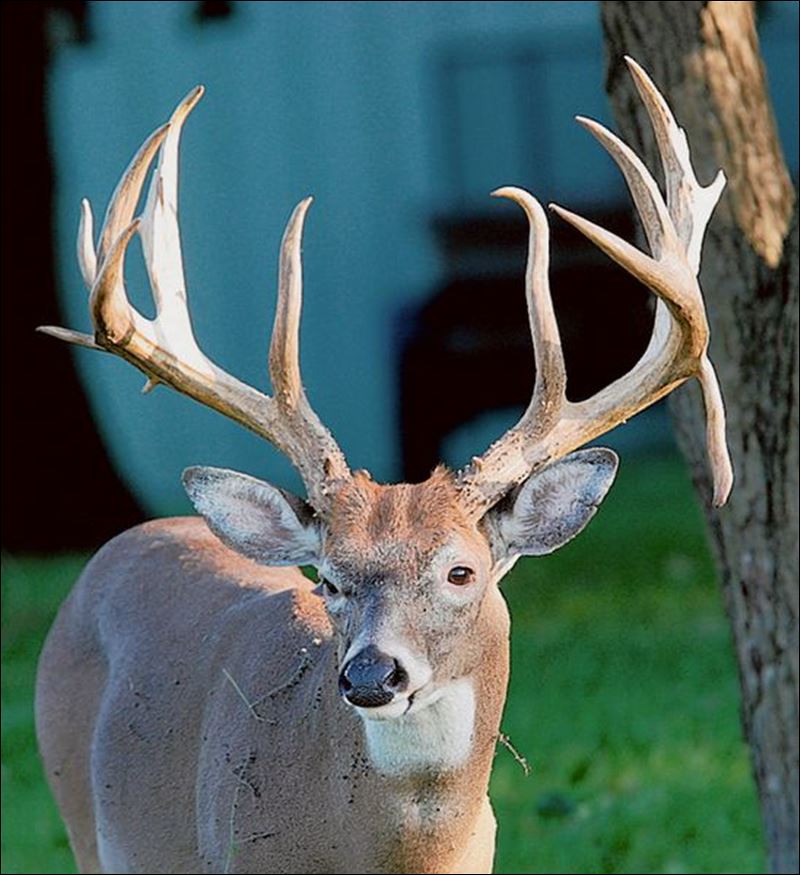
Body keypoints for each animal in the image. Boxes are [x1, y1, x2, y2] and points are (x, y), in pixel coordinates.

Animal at [35, 57, 732, 875]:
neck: (399, 853)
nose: (371, 675)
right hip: (82, 817)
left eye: (461, 571)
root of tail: (118, 547)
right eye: (328, 579)